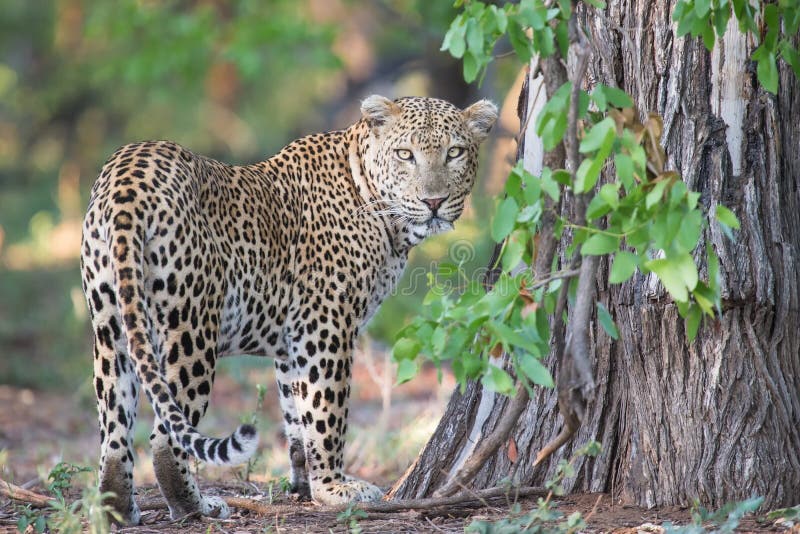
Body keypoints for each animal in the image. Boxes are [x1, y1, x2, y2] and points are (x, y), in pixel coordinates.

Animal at [80, 94, 497, 524]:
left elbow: (298, 414)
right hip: (192, 327)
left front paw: (302, 485)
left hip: (111, 324)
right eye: (405, 154)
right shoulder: (326, 326)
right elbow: (327, 411)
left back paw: (118, 510)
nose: (434, 202)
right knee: (166, 436)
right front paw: (334, 488)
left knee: (114, 431)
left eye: (454, 152)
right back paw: (197, 507)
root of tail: (127, 174)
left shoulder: (290, 341)